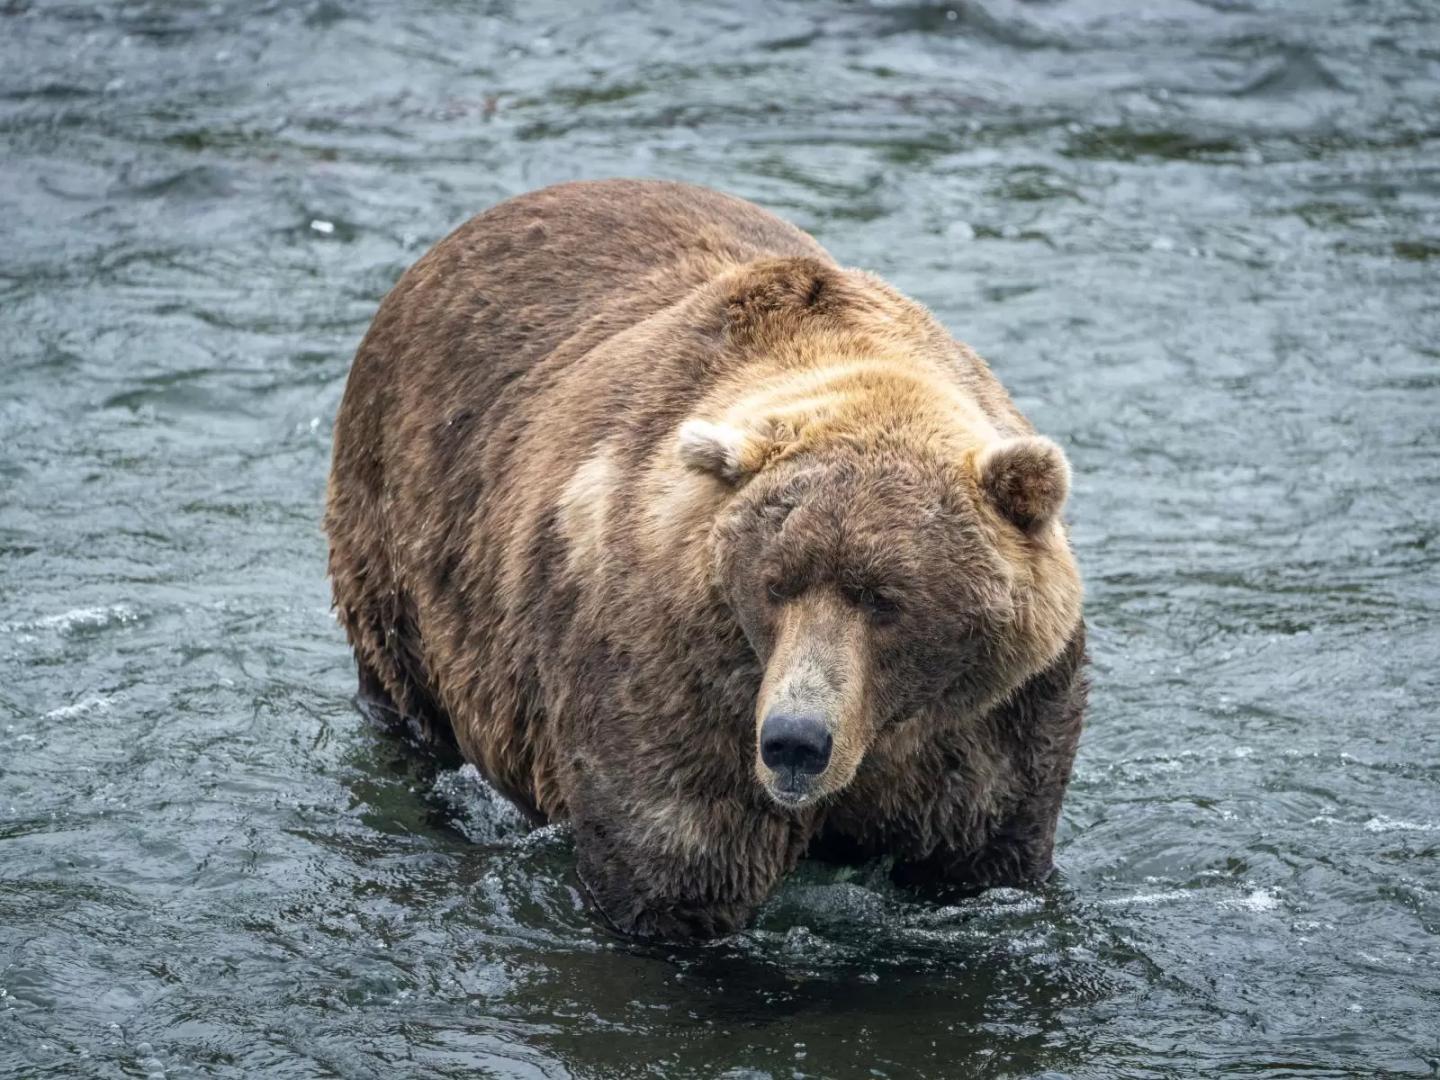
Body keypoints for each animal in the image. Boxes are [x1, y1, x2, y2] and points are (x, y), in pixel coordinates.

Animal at [325, 179, 1086, 941]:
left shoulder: (992, 718)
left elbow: (983, 853)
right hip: (399, 539)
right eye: (775, 585)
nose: (794, 740)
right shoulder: (674, 682)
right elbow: (675, 872)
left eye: (885, 598)